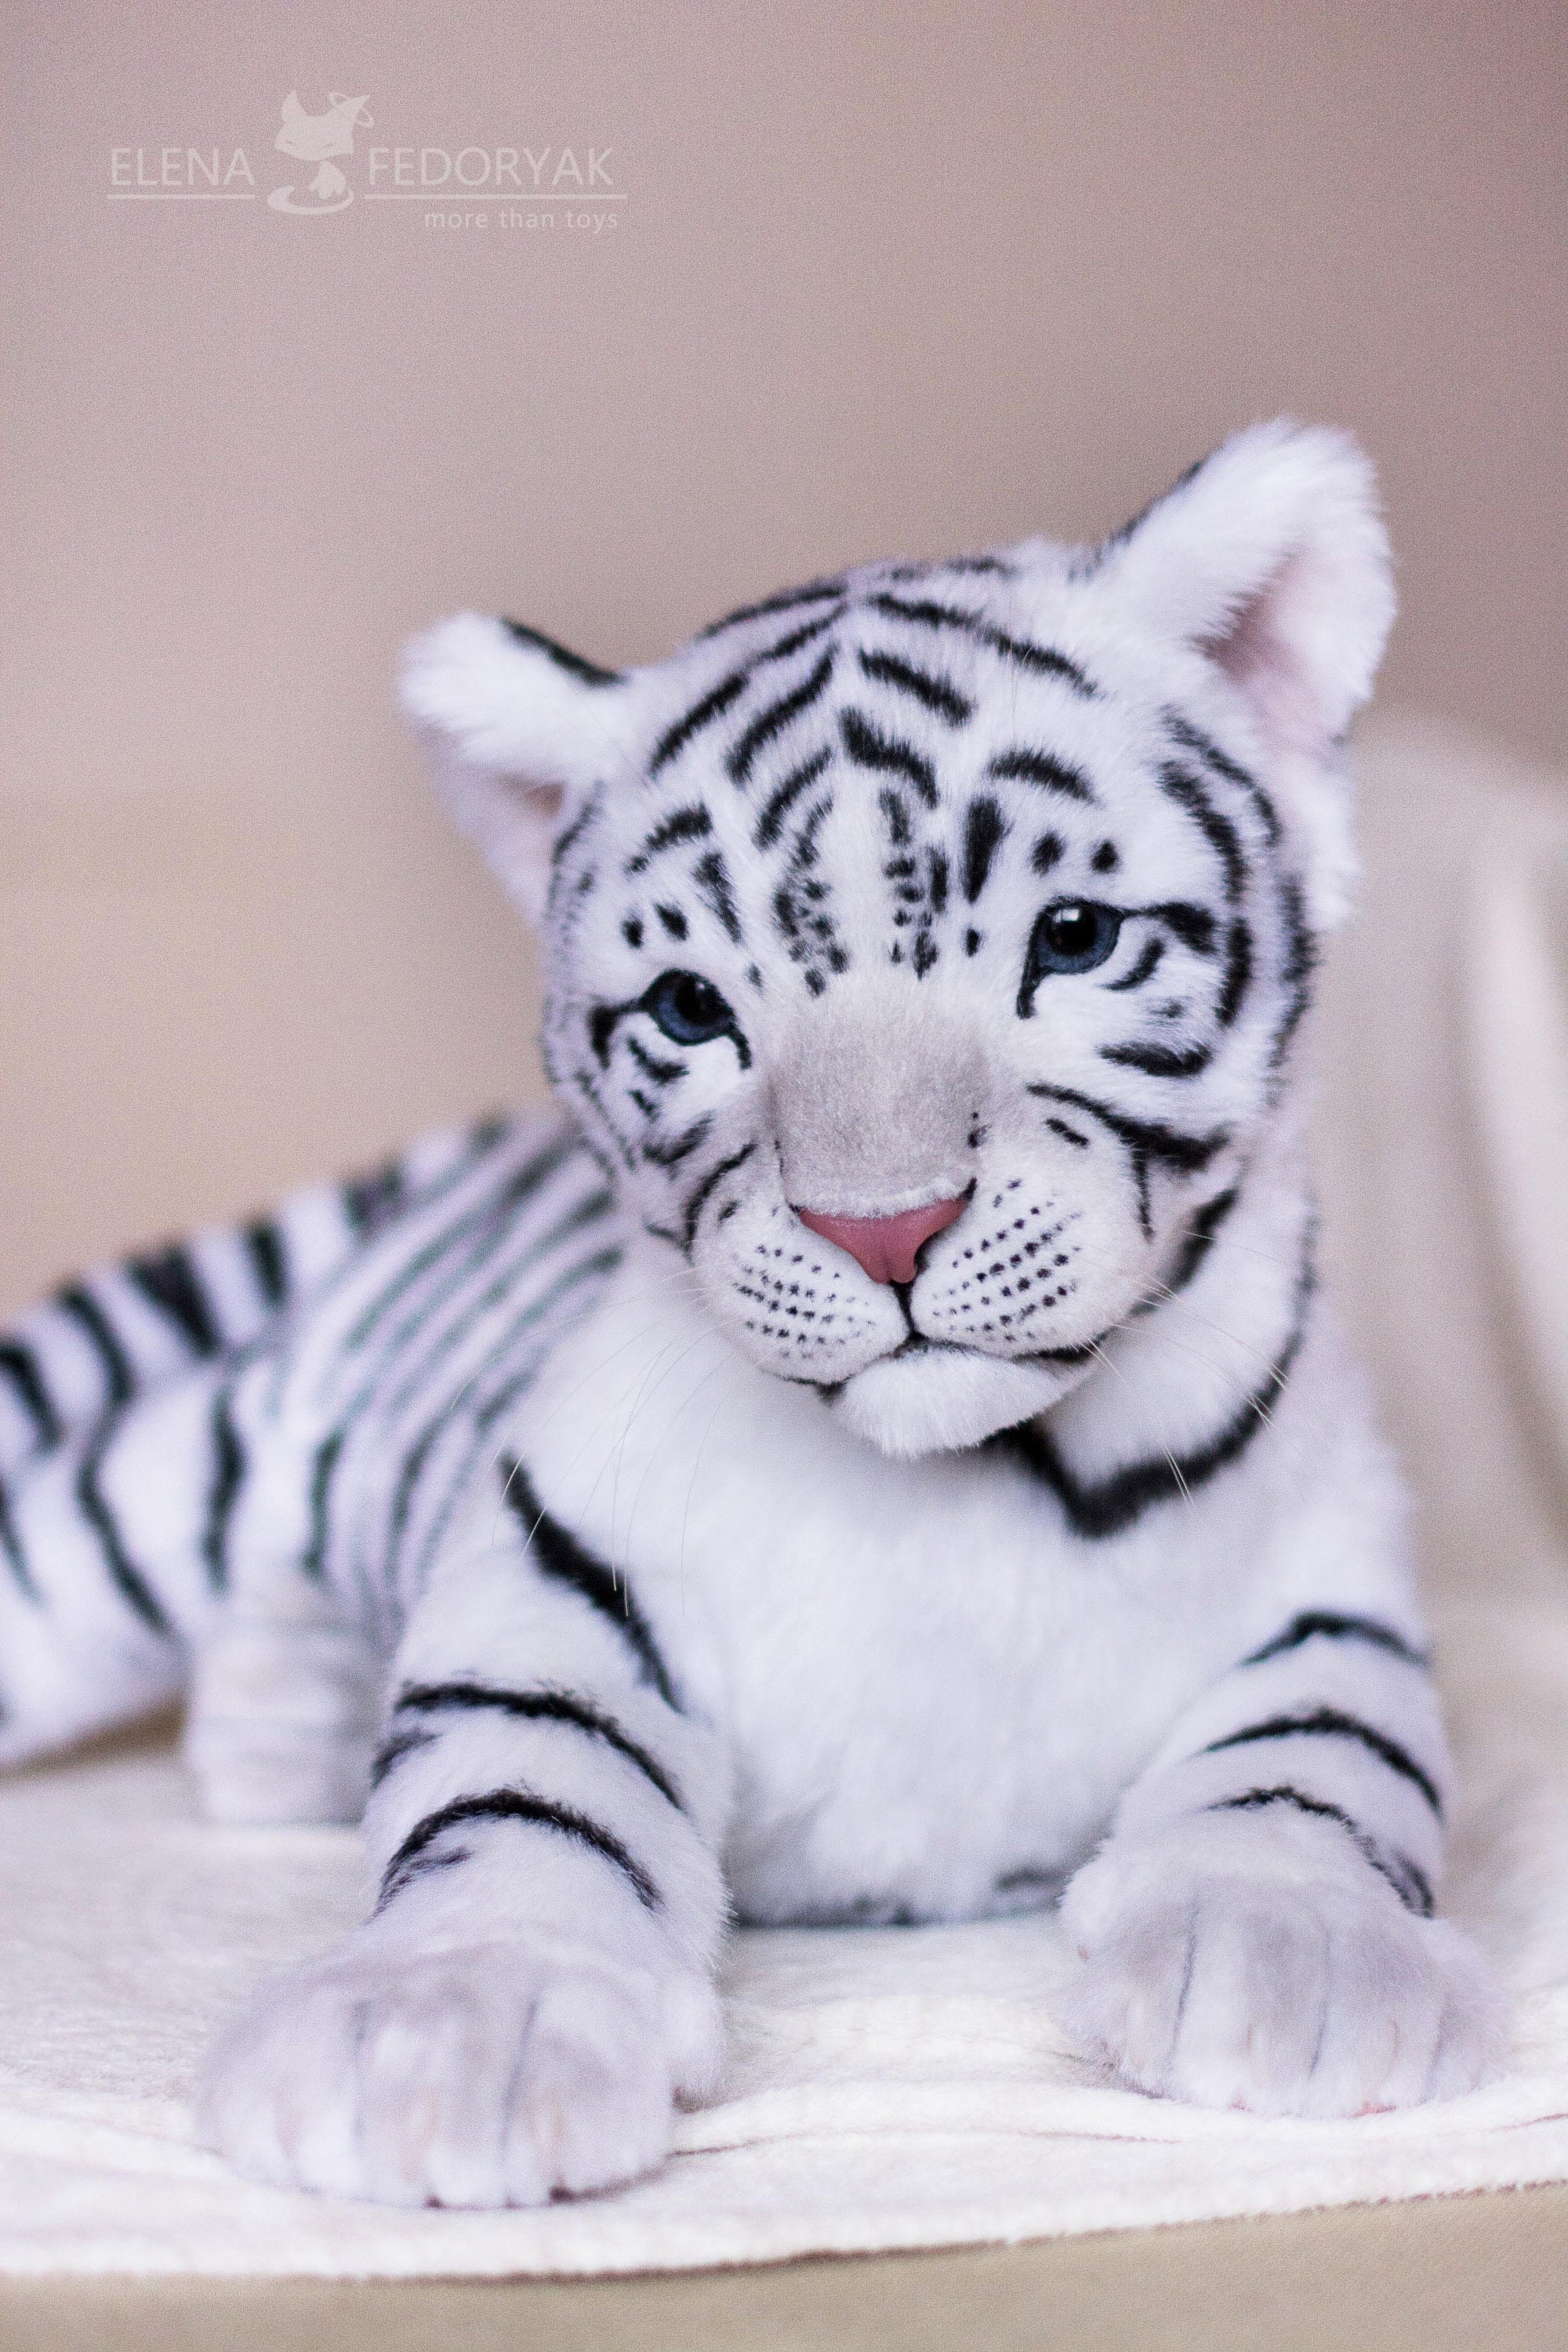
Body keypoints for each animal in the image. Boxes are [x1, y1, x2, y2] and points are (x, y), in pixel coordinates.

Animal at [0, 421, 1504, 2209]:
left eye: (1071, 940)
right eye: (691, 1009)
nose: (885, 1227)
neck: (963, 1481)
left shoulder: (1333, 1588)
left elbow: (1319, 1755)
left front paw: (1293, 1962)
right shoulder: (556, 1559)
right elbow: (528, 1784)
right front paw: (450, 2032)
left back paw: (280, 1720)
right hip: (172, 1479)